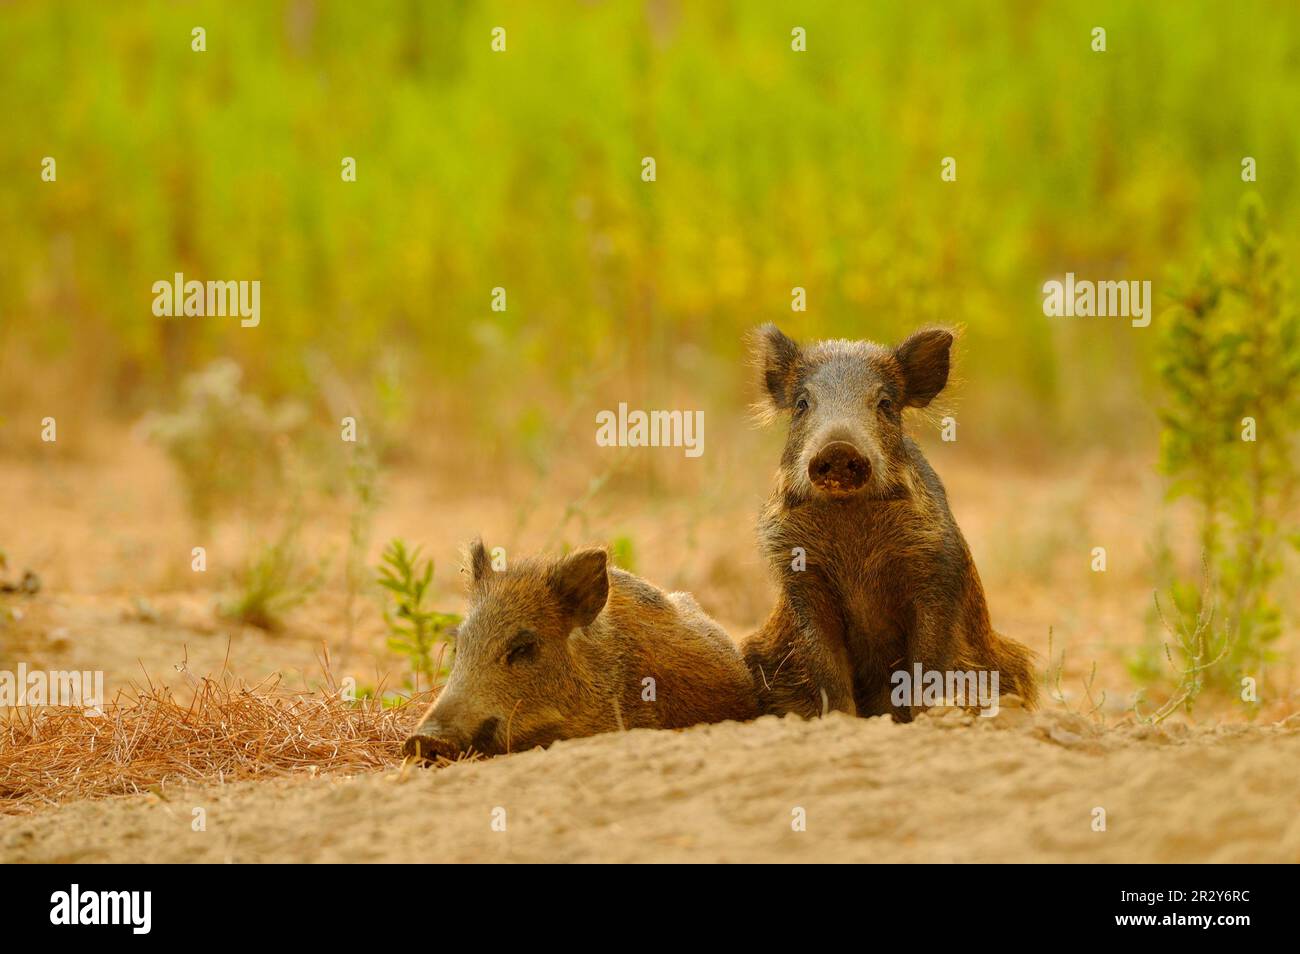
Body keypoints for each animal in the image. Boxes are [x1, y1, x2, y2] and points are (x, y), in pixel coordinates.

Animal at [740, 324, 1038, 721]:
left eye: (884, 403)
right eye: (803, 403)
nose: (839, 447)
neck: (850, 520)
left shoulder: (936, 573)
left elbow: (928, 663)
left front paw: (927, 717)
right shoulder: (801, 579)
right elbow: (826, 668)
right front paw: (842, 720)